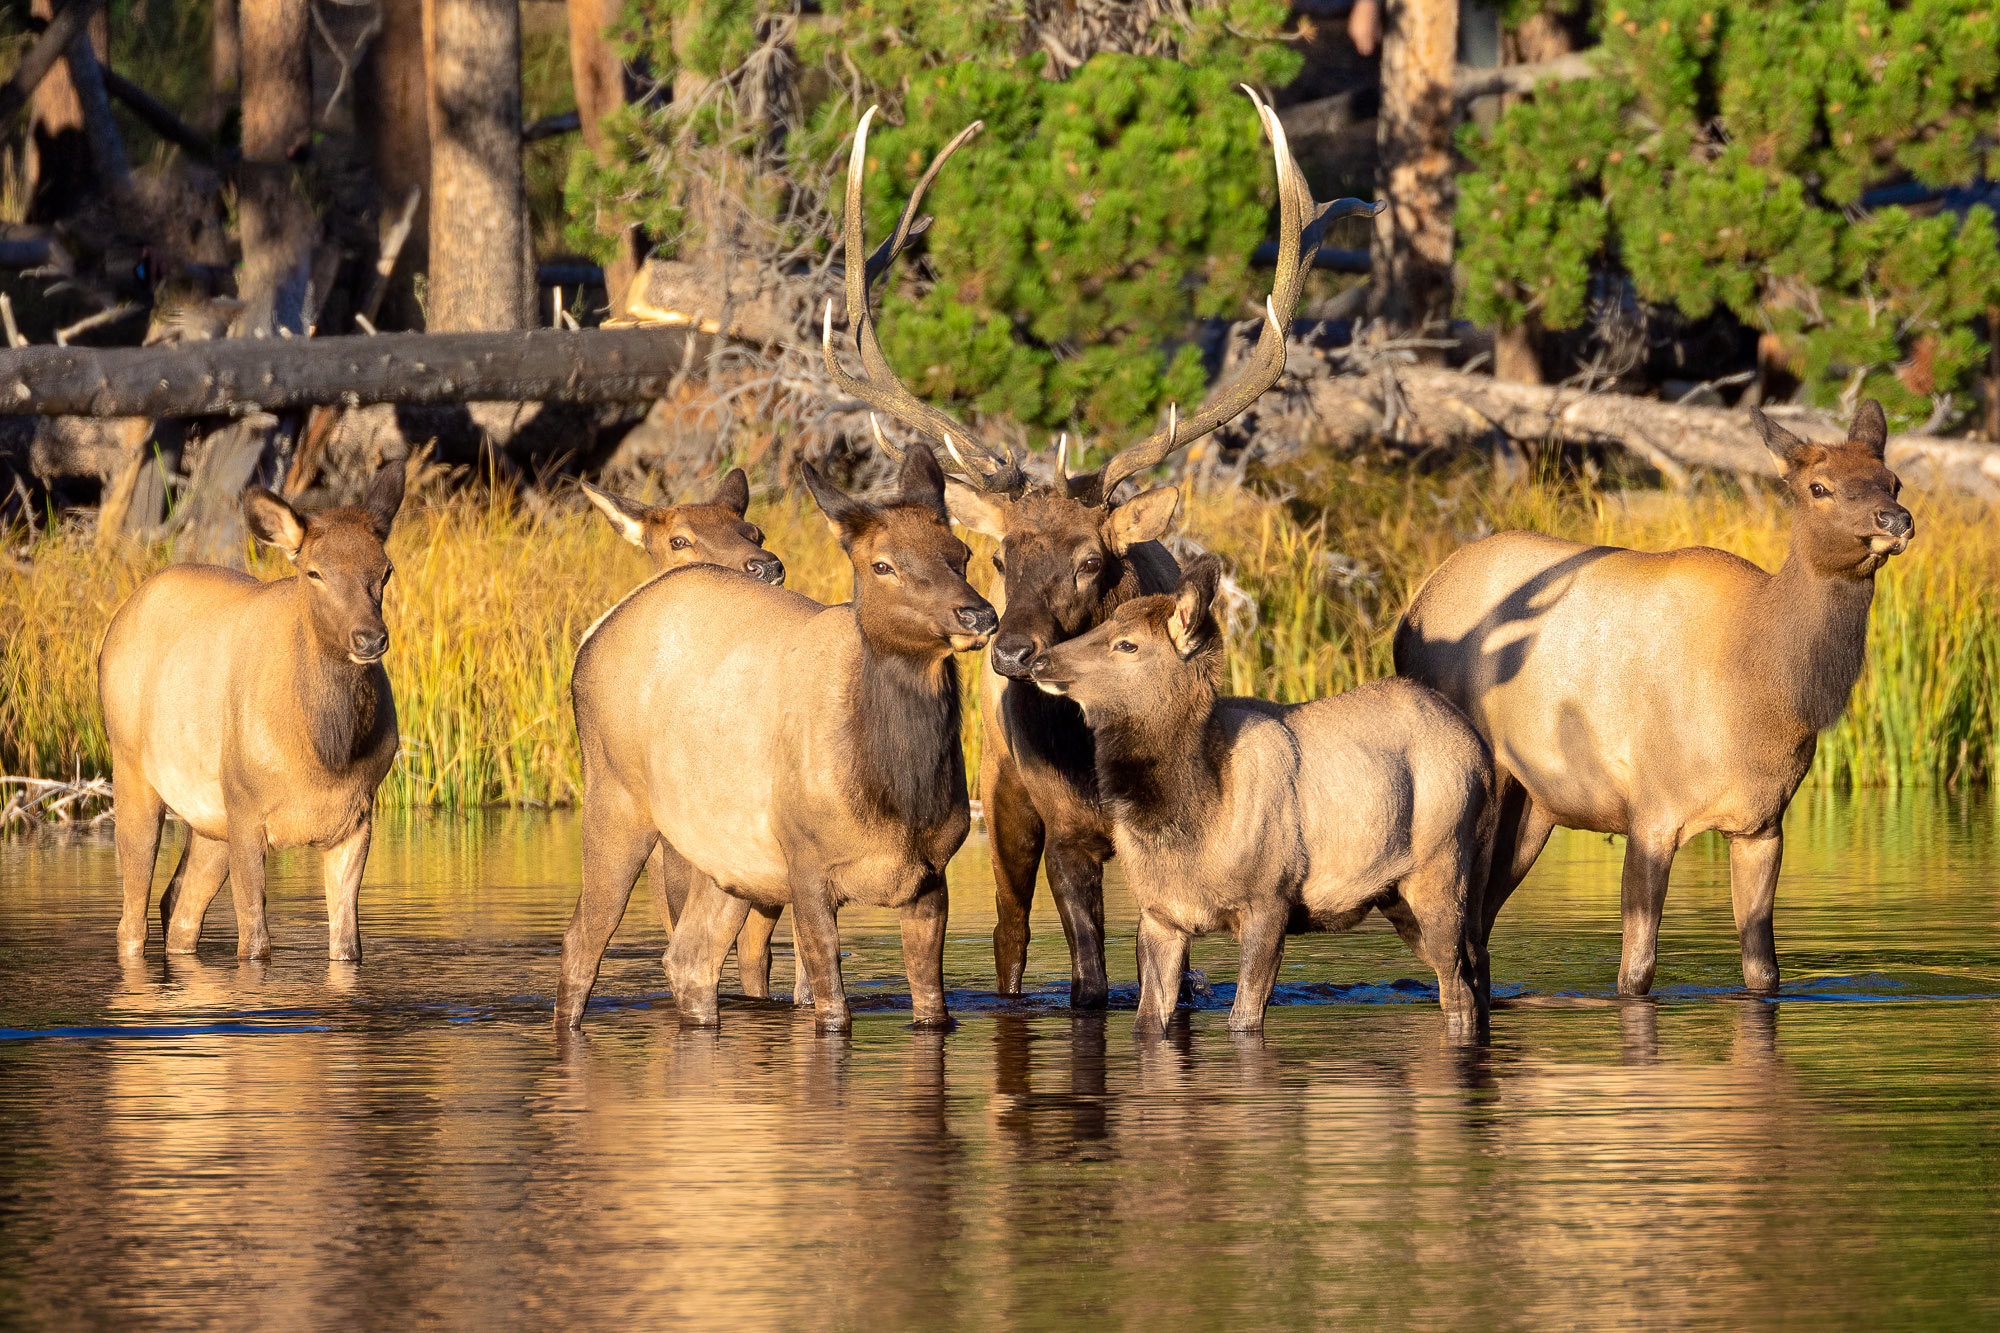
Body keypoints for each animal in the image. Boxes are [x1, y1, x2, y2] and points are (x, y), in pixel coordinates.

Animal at [97, 461, 407, 961]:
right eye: (314, 572)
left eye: (385, 571)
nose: (369, 638)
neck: (325, 755)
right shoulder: (245, 810)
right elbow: (255, 942)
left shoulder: (357, 818)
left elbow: (348, 945)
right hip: (132, 768)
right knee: (132, 918)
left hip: (208, 819)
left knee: (178, 907)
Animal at [827, 87, 1383, 1007]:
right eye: (1001, 557)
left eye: (1092, 561)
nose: (1010, 651)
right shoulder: (1067, 830)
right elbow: (1086, 976)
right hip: (1000, 794)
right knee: (1009, 939)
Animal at [1026, 555, 1493, 1037]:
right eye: (1103, 623)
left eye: (1127, 644)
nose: (1038, 660)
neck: (1190, 820)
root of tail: (1480, 749)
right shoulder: (1159, 915)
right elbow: (1147, 1022)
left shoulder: (1269, 900)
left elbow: (1244, 1019)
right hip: (1404, 897)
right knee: (1476, 970)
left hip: (1442, 868)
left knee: (1457, 992)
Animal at [1394, 401, 1915, 998]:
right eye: (1818, 486)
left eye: (1893, 480)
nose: (1895, 520)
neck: (1761, 691)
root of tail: (1408, 616)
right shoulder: (1651, 813)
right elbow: (1635, 973)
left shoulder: (1762, 825)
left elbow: (1763, 972)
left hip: (1537, 803)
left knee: (1480, 926)